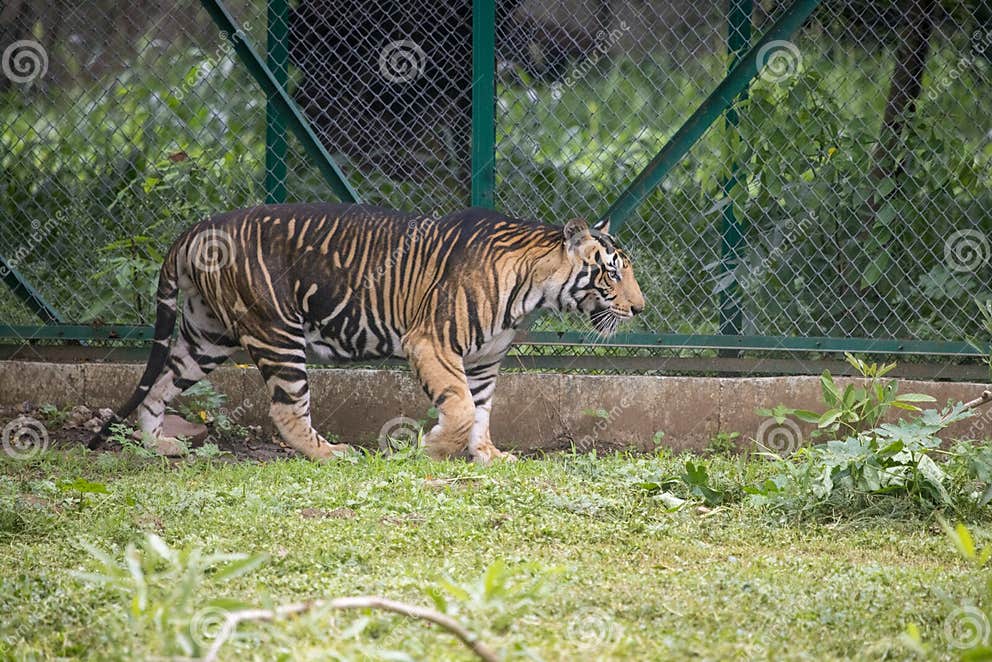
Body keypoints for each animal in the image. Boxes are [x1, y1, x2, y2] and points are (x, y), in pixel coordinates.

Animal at [89, 203, 645, 463]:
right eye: (612, 273)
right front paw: (432, 448)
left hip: (206, 336)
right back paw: (331, 453)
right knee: (287, 409)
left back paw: (157, 445)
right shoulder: (433, 341)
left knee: (158, 387)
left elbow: (483, 411)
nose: (640, 309)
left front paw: (487, 456)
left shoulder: (485, 360)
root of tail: (197, 228)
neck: (533, 291)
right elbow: (462, 408)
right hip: (277, 331)